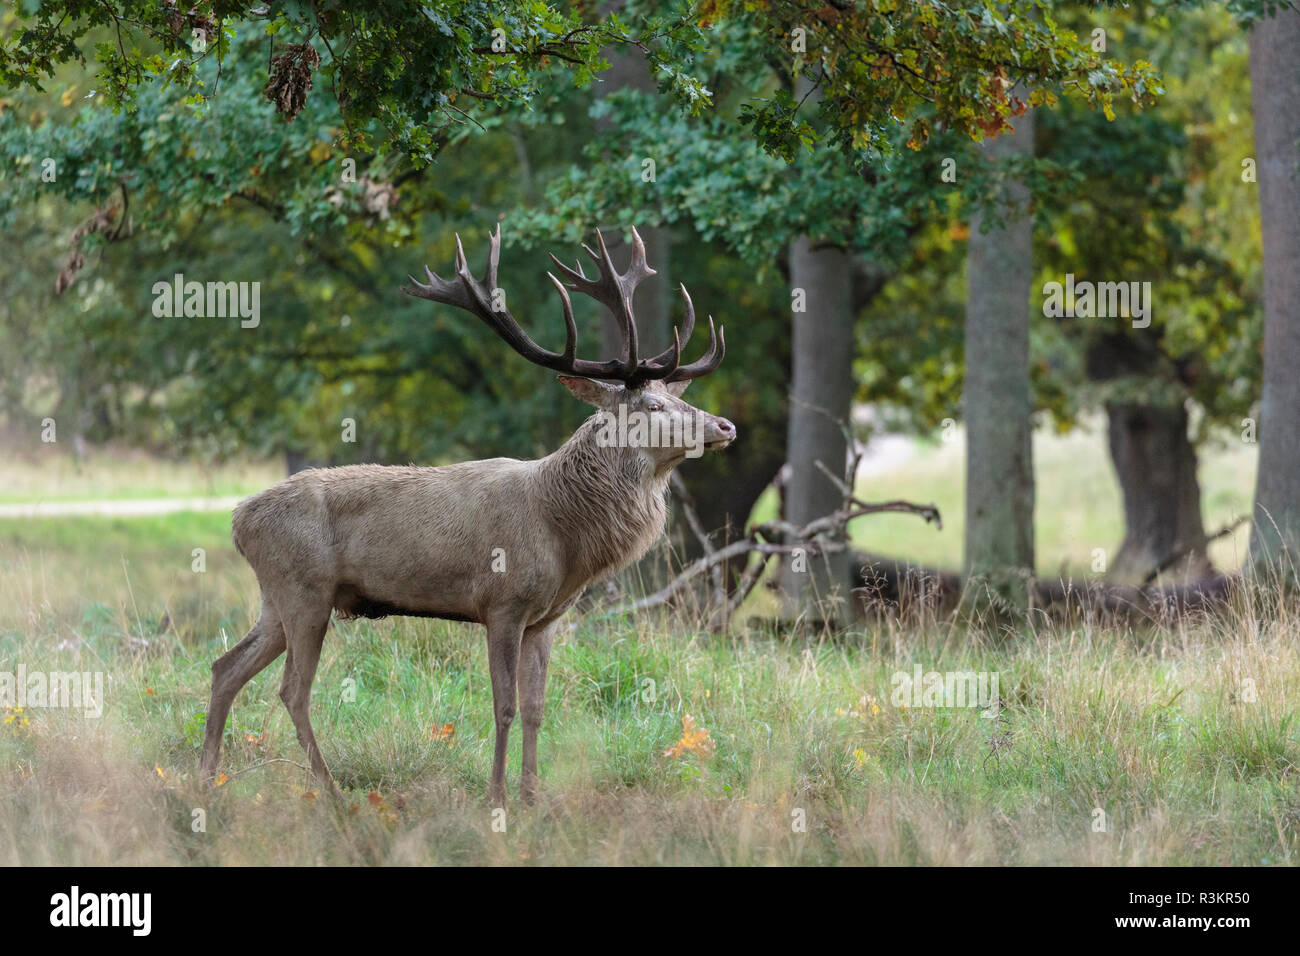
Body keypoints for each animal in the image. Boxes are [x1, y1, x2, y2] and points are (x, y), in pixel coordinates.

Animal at [200, 226, 734, 806]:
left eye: (678, 397)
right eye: (654, 407)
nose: (726, 425)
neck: (563, 532)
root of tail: (238, 520)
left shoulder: (546, 619)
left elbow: (537, 710)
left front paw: (532, 799)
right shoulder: (501, 602)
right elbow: (504, 707)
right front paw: (497, 800)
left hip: (276, 597)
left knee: (226, 667)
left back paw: (205, 777)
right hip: (305, 591)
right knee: (292, 690)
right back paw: (333, 792)